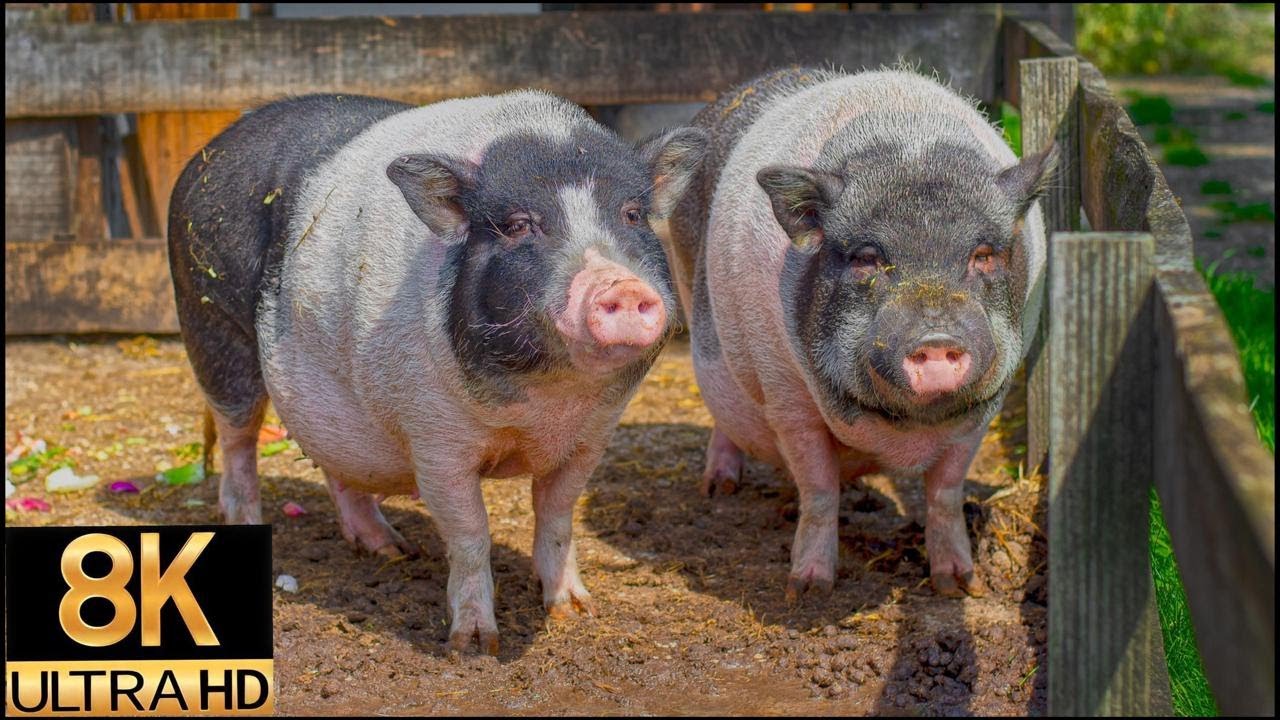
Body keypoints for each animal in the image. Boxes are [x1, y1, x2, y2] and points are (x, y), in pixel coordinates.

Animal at [168, 91, 706, 653]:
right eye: (518, 224)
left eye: (632, 214)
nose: (620, 285)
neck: (544, 404)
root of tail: (209, 150)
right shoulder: (434, 440)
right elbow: (471, 534)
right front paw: (474, 644)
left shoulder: (591, 437)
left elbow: (557, 516)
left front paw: (576, 612)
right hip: (212, 326)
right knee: (237, 440)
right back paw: (249, 520)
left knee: (335, 464)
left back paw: (391, 549)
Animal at [662, 67, 1057, 600]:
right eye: (867, 258)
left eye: (983, 255)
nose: (935, 340)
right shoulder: (788, 400)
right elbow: (820, 490)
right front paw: (808, 589)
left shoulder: (981, 411)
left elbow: (946, 493)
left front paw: (957, 585)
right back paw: (719, 488)